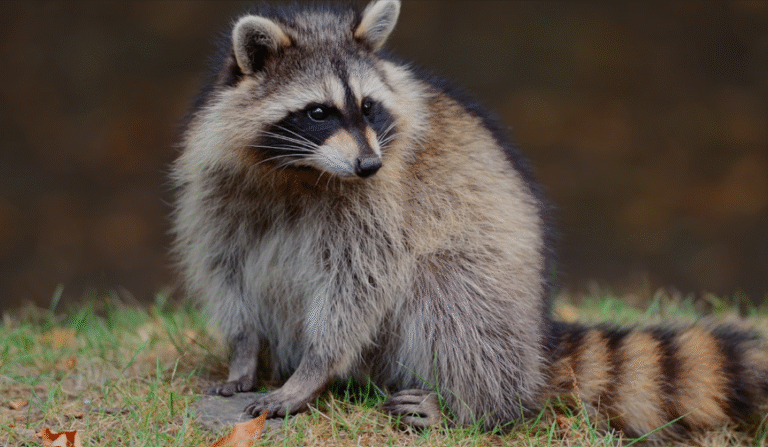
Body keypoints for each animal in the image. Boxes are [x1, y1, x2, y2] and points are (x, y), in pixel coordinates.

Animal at [171, 0, 768, 439]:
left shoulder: (382, 201)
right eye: (318, 112)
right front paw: (243, 351)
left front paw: (312, 371)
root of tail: (536, 341)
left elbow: (358, 283)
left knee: (450, 295)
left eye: (367, 107)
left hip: (493, 292)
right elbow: (225, 266)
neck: (299, 170)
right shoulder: (218, 184)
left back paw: (474, 406)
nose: (368, 165)